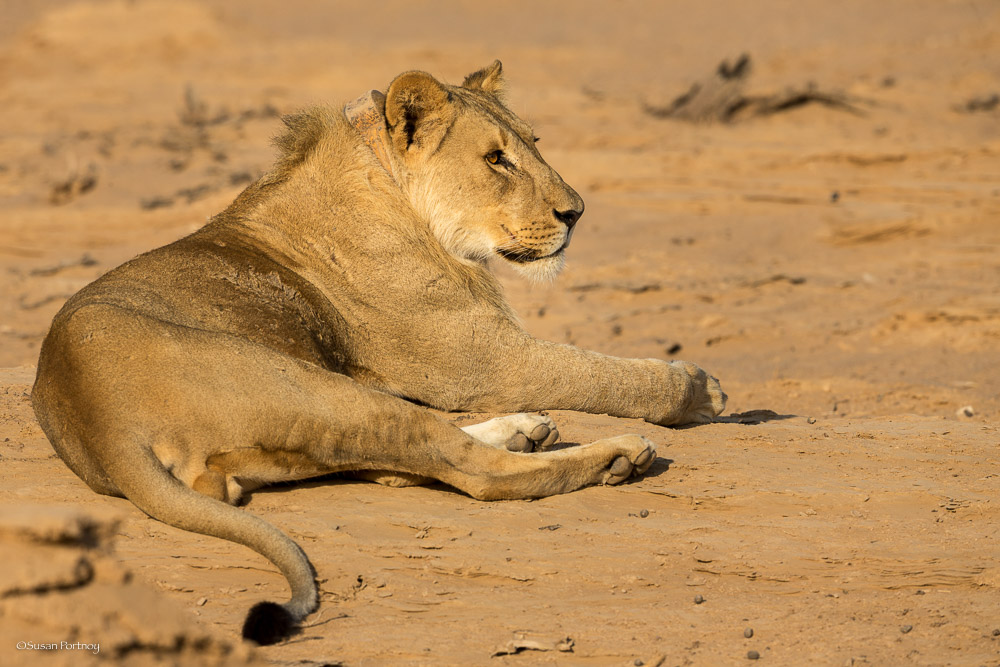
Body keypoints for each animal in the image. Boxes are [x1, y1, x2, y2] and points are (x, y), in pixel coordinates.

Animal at [31, 61, 726, 645]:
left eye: (534, 143)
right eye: (496, 159)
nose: (575, 213)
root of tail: (100, 425)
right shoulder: (486, 362)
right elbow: (602, 375)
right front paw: (699, 391)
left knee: (405, 461)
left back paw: (528, 430)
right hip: (312, 385)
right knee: (471, 471)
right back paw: (616, 456)